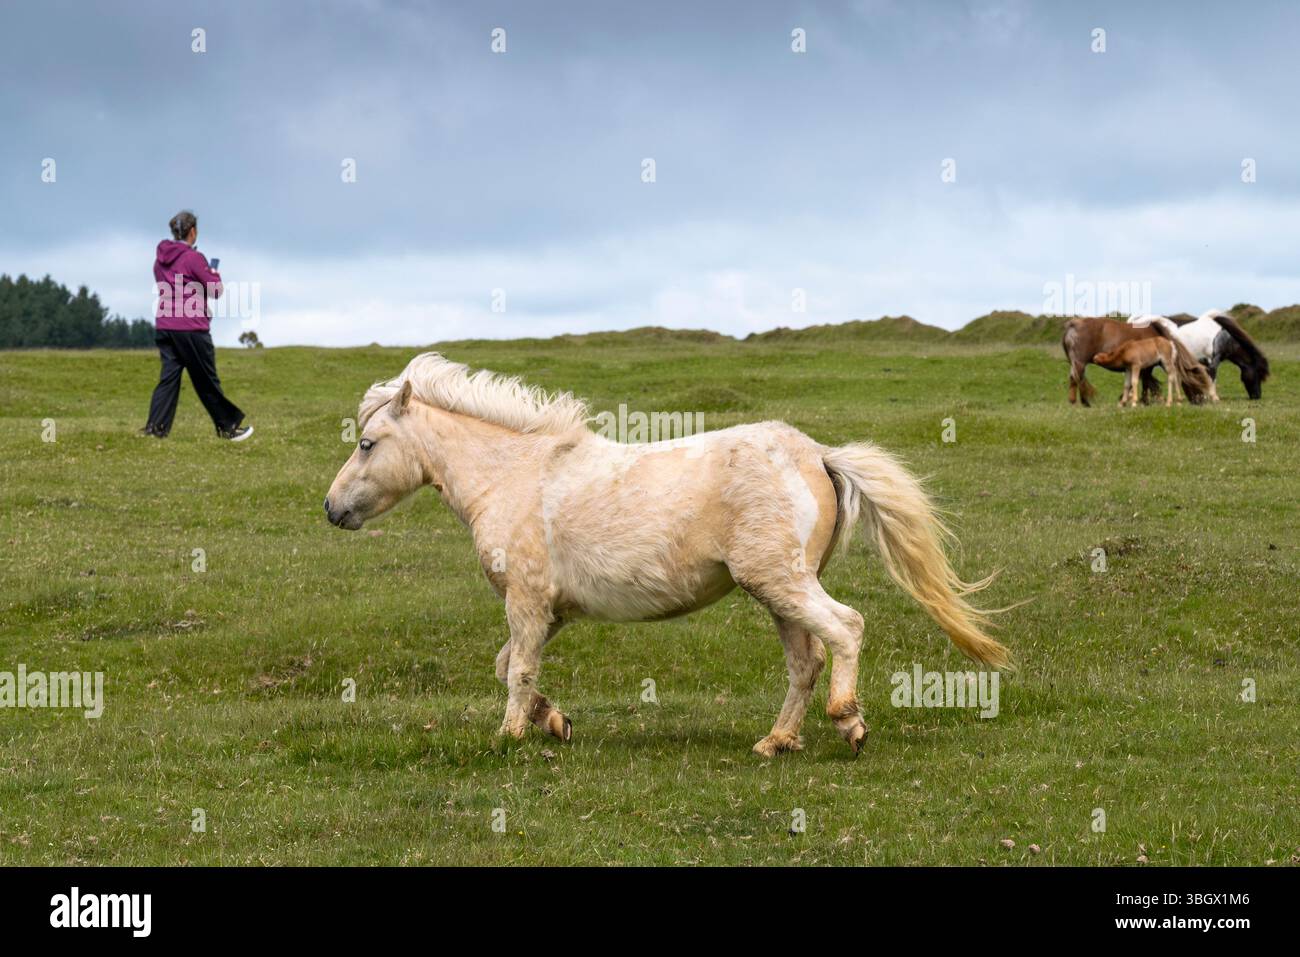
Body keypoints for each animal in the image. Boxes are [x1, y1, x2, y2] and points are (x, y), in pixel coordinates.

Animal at [324, 353, 1010, 757]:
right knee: (806, 661)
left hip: (781, 583)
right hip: (779, 593)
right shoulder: (549, 613)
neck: (513, 475)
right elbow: (508, 668)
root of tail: (816, 453)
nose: (332, 509)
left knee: (846, 628)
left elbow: (516, 672)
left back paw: (848, 722)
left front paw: (511, 734)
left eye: (366, 443)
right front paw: (555, 722)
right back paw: (776, 741)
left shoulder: (526, 603)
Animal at [1062, 316, 1213, 406]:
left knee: (1075, 379)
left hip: (1076, 364)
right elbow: (1146, 383)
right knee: (1077, 379)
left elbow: (1147, 383)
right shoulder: (1146, 367)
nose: (1201, 401)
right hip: (1080, 363)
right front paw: (1144, 401)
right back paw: (1082, 402)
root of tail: (1073, 324)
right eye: (1199, 380)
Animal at [1129, 311, 1270, 400]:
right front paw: (1213, 397)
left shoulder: (1202, 361)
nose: (1257, 396)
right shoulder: (1213, 359)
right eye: (1258, 374)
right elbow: (1212, 377)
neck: (1223, 337)